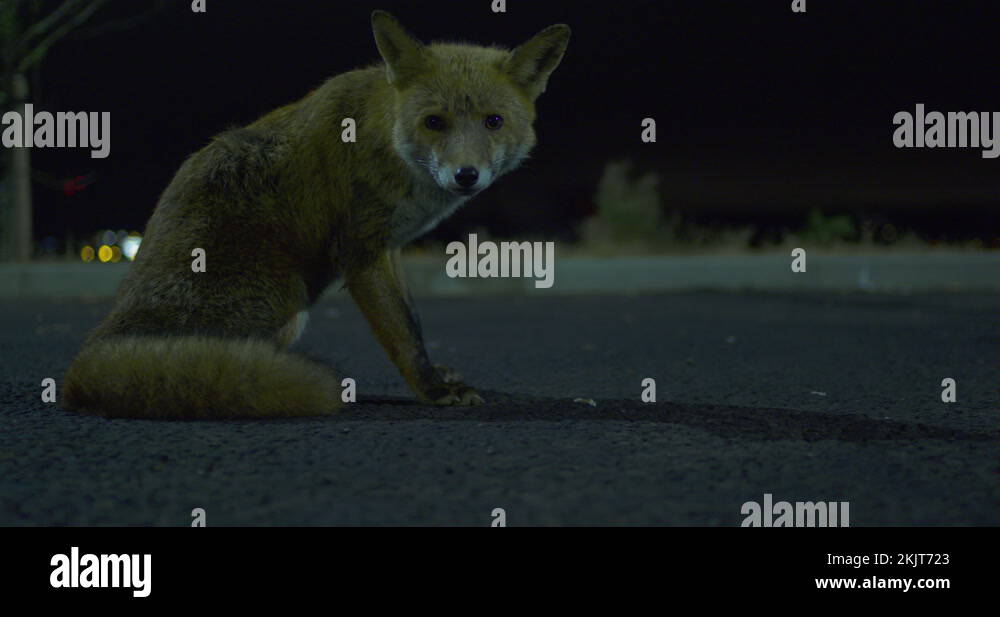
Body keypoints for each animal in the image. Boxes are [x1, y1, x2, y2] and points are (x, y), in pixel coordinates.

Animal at [61, 11, 570, 419]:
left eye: (493, 122)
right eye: (434, 122)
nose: (466, 176)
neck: (385, 143)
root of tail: (89, 356)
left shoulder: (389, 247)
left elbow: (413, 321)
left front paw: (436, 377)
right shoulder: (360, 250)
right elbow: (404, 335)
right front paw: (432, 389)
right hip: (286, 302)